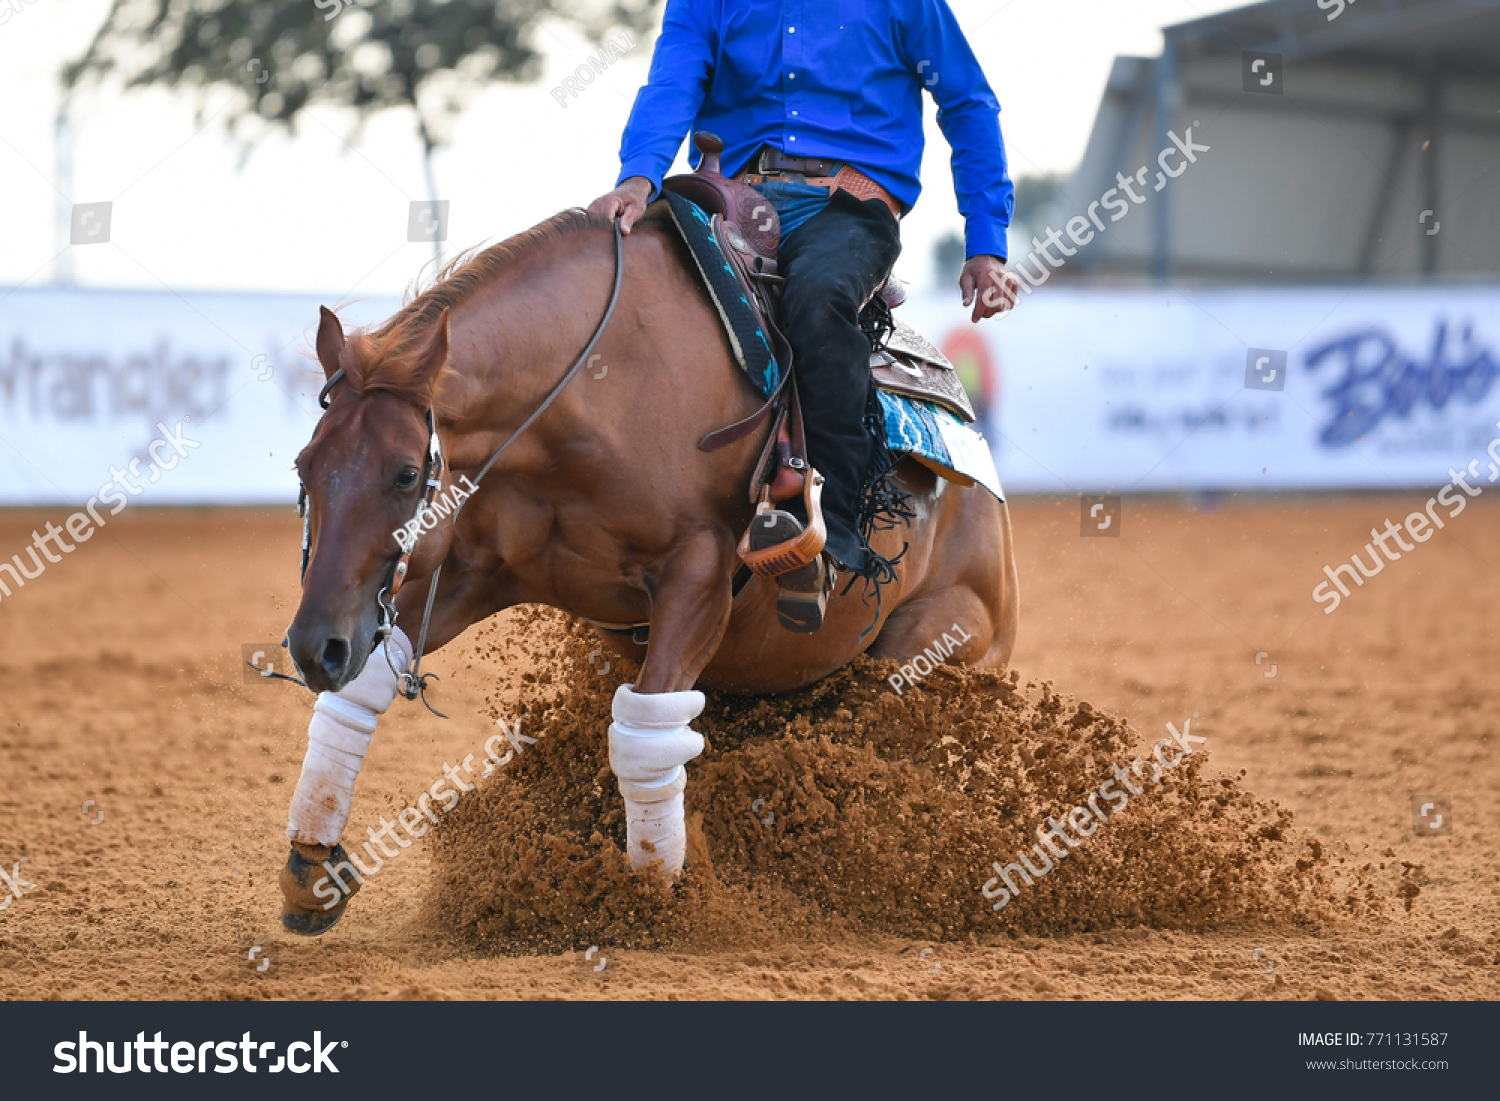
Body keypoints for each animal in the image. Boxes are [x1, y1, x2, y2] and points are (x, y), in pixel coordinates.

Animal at [277, 207, 1018, 934]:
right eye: (305, 465)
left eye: (406, 473)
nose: (314, 647)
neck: (591, 394)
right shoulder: (475, 571)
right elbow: (361, 693)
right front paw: (314, 867)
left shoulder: (698, 580)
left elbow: (644, 734)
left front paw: (655, 896)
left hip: (931, 652)